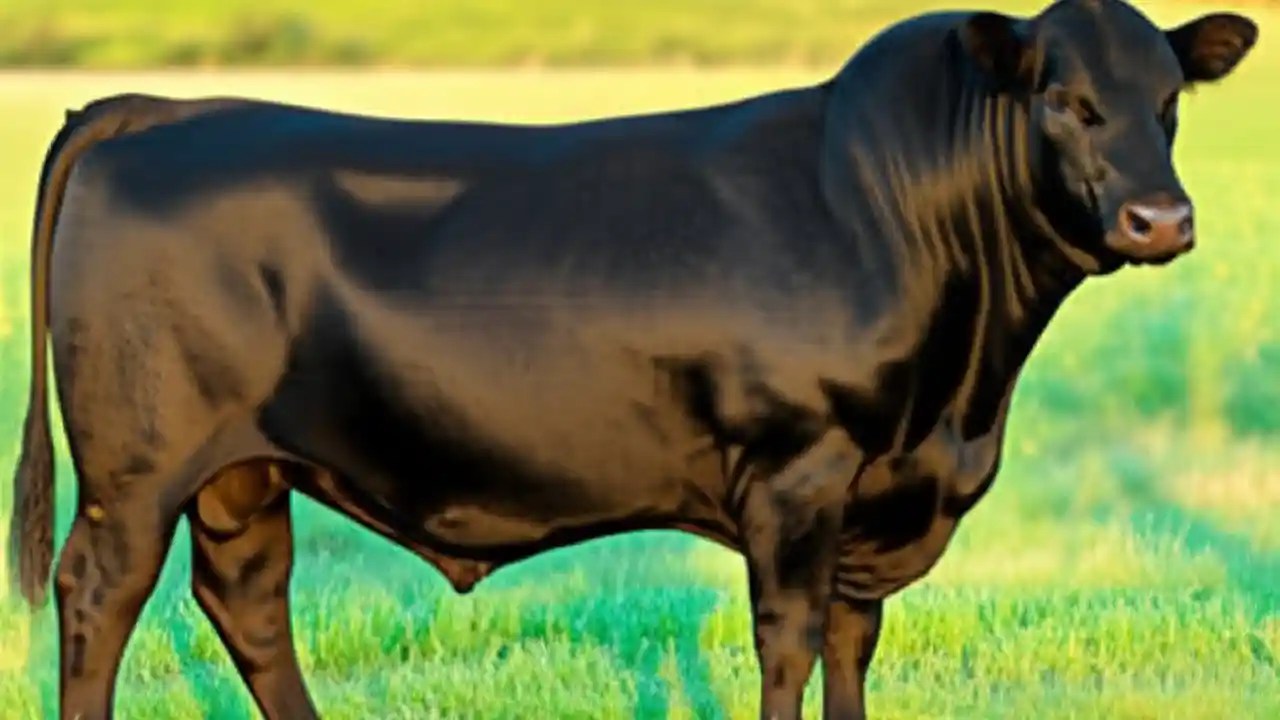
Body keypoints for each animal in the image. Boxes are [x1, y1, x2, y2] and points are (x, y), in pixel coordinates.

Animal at [6, 1, 1257, 718]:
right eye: (1062, 100)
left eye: (1169, 100)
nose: (1159, 219)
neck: (961, 395)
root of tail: (158, 107)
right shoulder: (799, 472)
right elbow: (788, 644)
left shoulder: (879, 488)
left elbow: (851, 647)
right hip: (135, 471)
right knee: (99, 598)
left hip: (243, 470)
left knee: (248, 598)